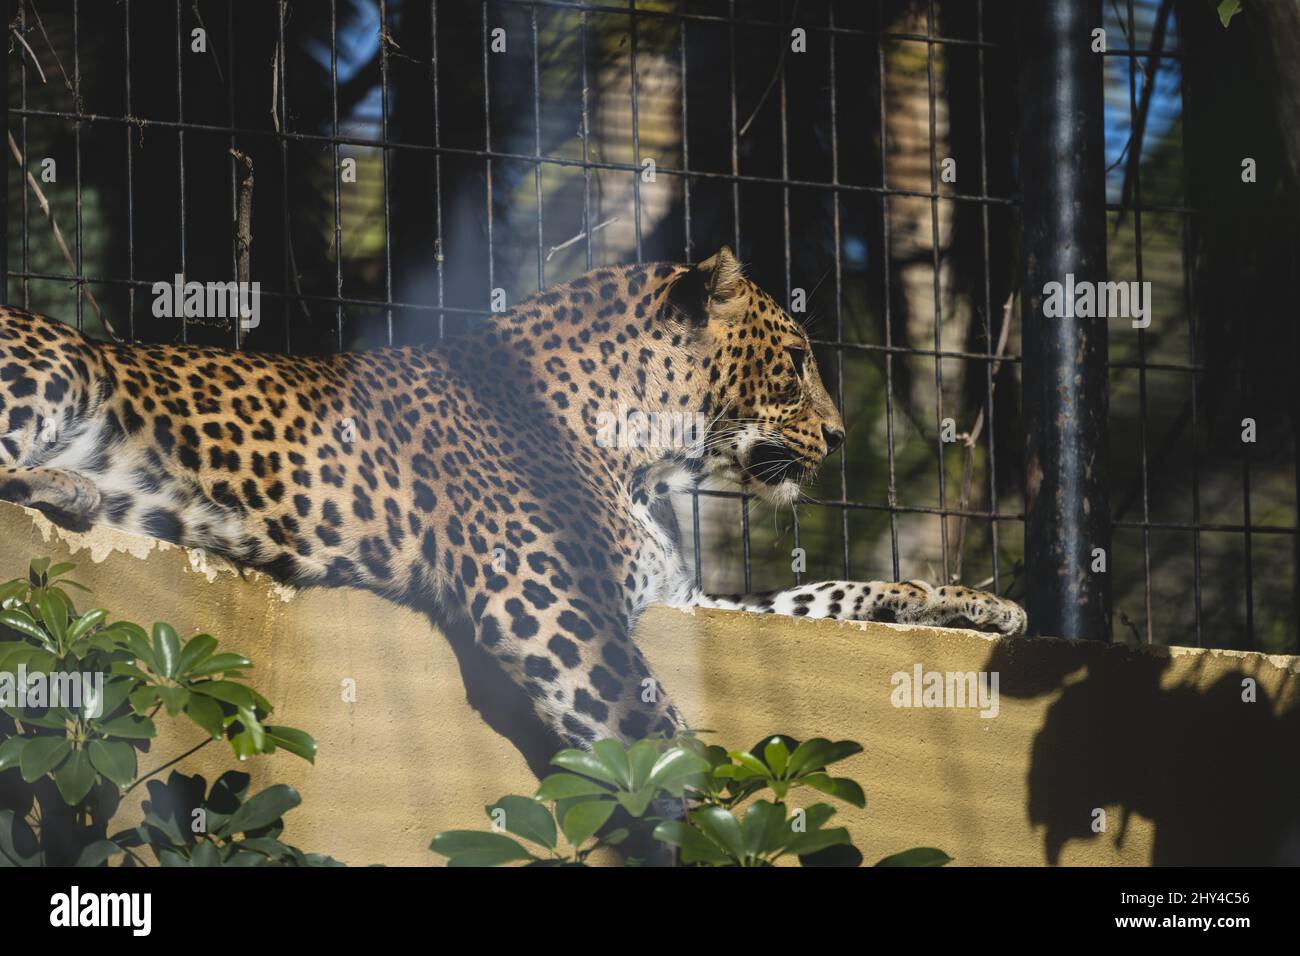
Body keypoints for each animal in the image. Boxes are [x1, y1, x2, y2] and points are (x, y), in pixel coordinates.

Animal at [0, 246, 1026, 751]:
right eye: (801, 358)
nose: (844, 437)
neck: (645, 455)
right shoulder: (544, 600)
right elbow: (650, 732)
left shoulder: (682, 597)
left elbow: (821, 600)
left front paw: (970, 605)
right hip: (67, 358)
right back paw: (76, 488)